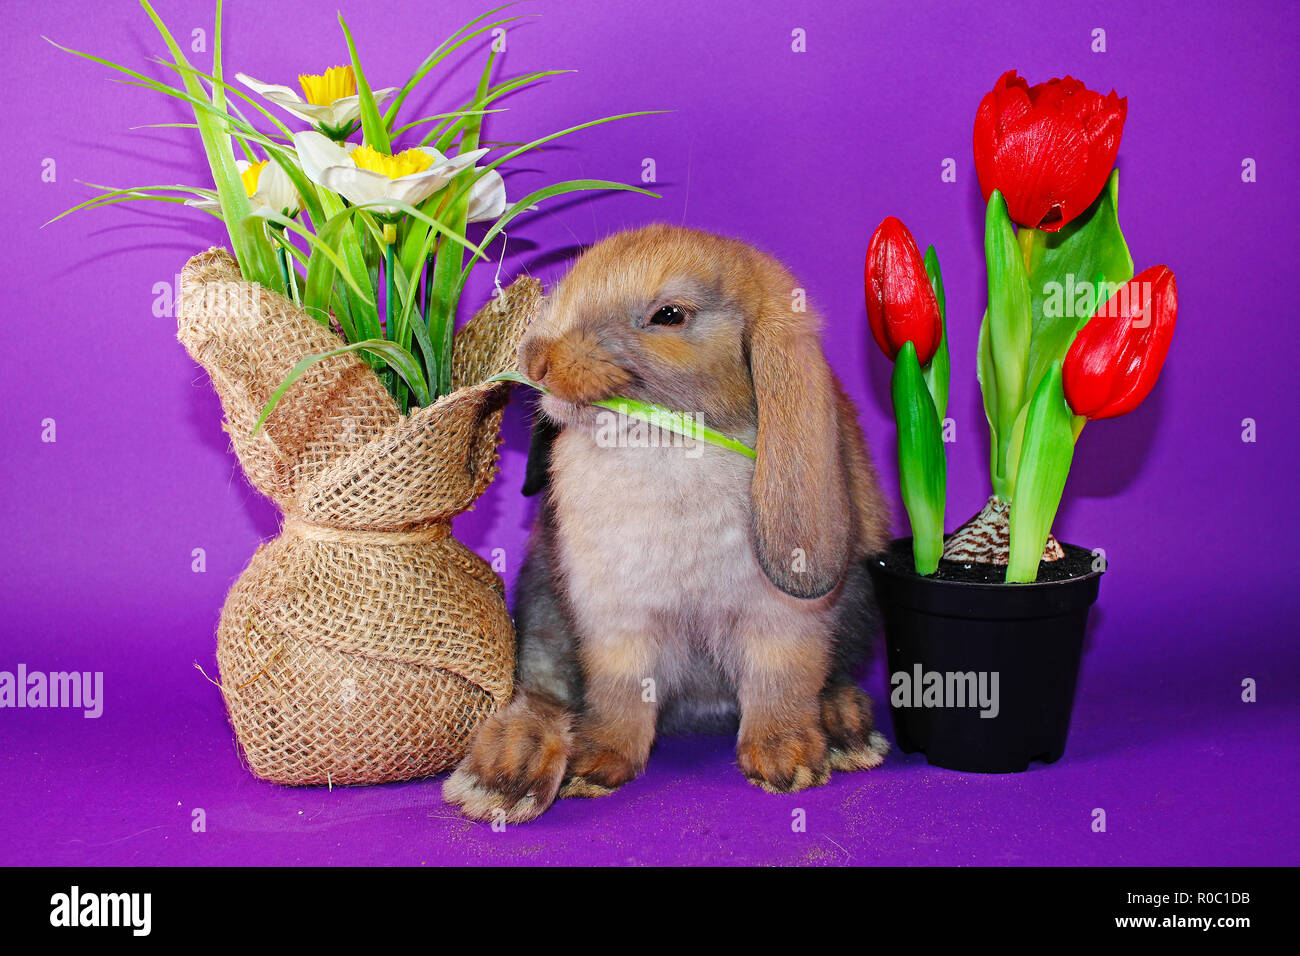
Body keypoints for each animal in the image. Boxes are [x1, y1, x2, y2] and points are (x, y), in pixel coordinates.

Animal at [443, 224, 892, 823]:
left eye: (670, 314)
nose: (537, 360)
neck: (666, 445)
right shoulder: (617, 623)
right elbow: (622, 694)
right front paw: (596, 767)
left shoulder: (784, 621)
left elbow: (780, 685)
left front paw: (785, 764)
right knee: (542, 692)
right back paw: (507, 774)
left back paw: (846, 732)